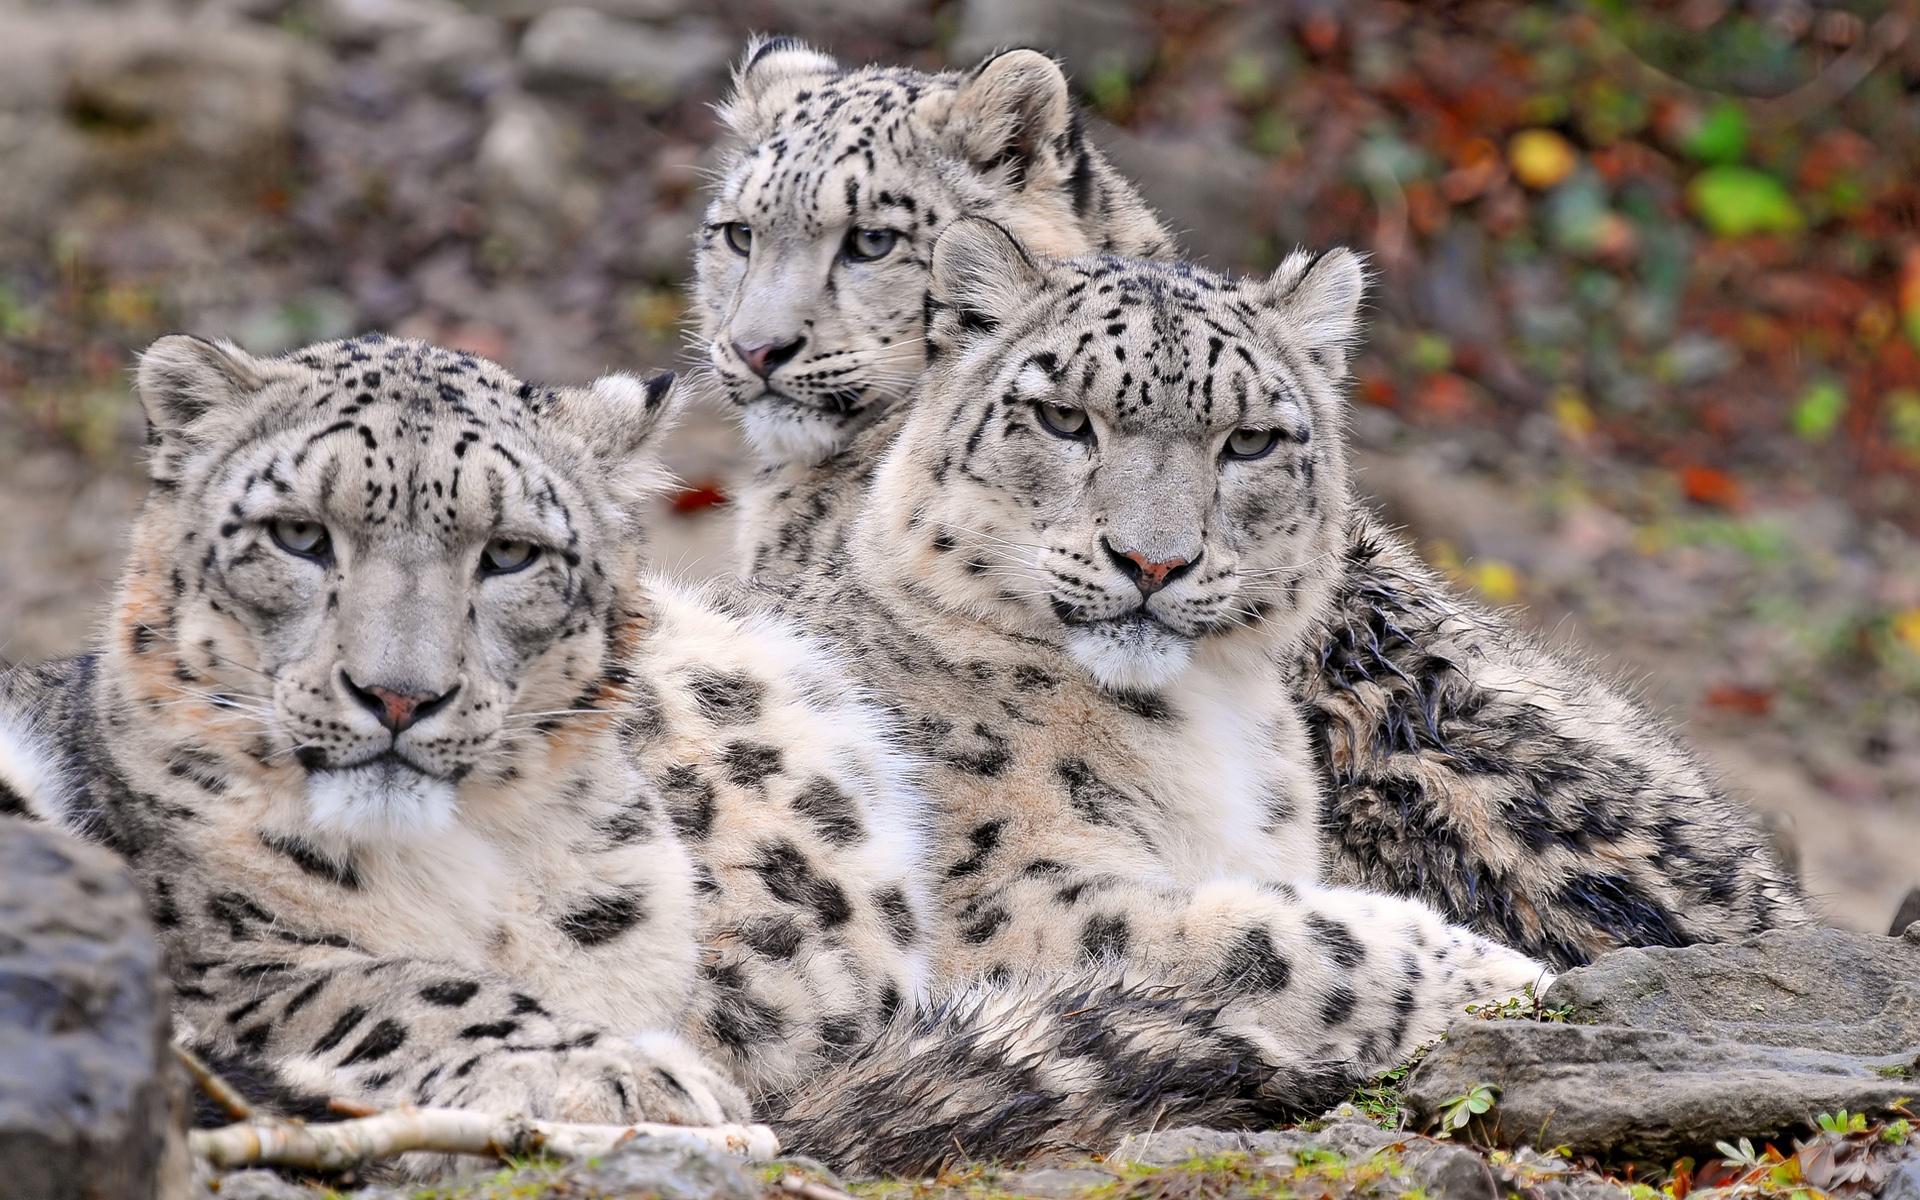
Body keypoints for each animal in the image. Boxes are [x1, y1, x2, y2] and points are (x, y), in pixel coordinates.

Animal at [759, 220, 1556, 1174]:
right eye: (1064, 418)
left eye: (1249, 441)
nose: (1152, 561)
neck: (1213, 718)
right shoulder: (1008, 905)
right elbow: (1280, 940)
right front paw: (1504, 973)